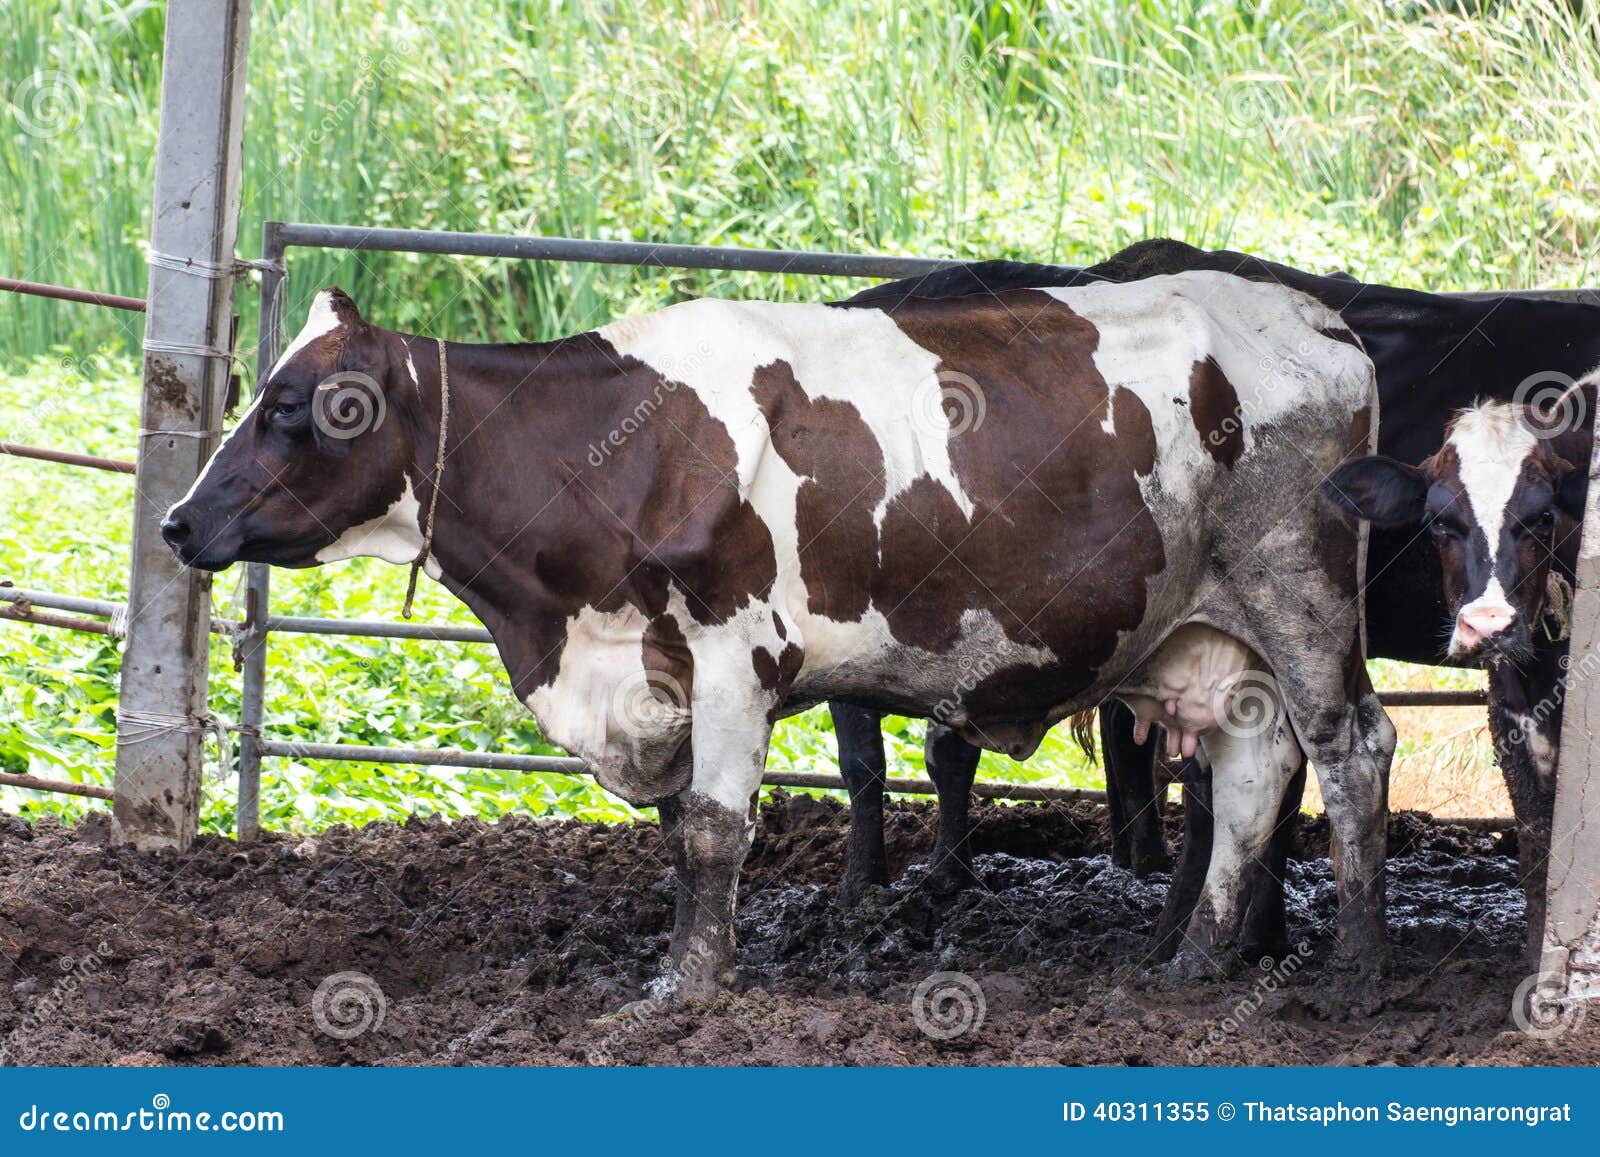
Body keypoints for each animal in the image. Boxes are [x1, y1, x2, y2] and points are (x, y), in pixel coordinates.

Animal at [161, 275, 1391, 998]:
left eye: (299, 407)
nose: (176, 522)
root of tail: (1315, 316)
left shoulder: (731, 653)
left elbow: (713, 830)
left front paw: (691, 987)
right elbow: (680, 832)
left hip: (1301, 599)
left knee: (1349, 754)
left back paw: (1355, 962)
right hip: (1204, 640)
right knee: (1249, 777)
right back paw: (1194, 961)